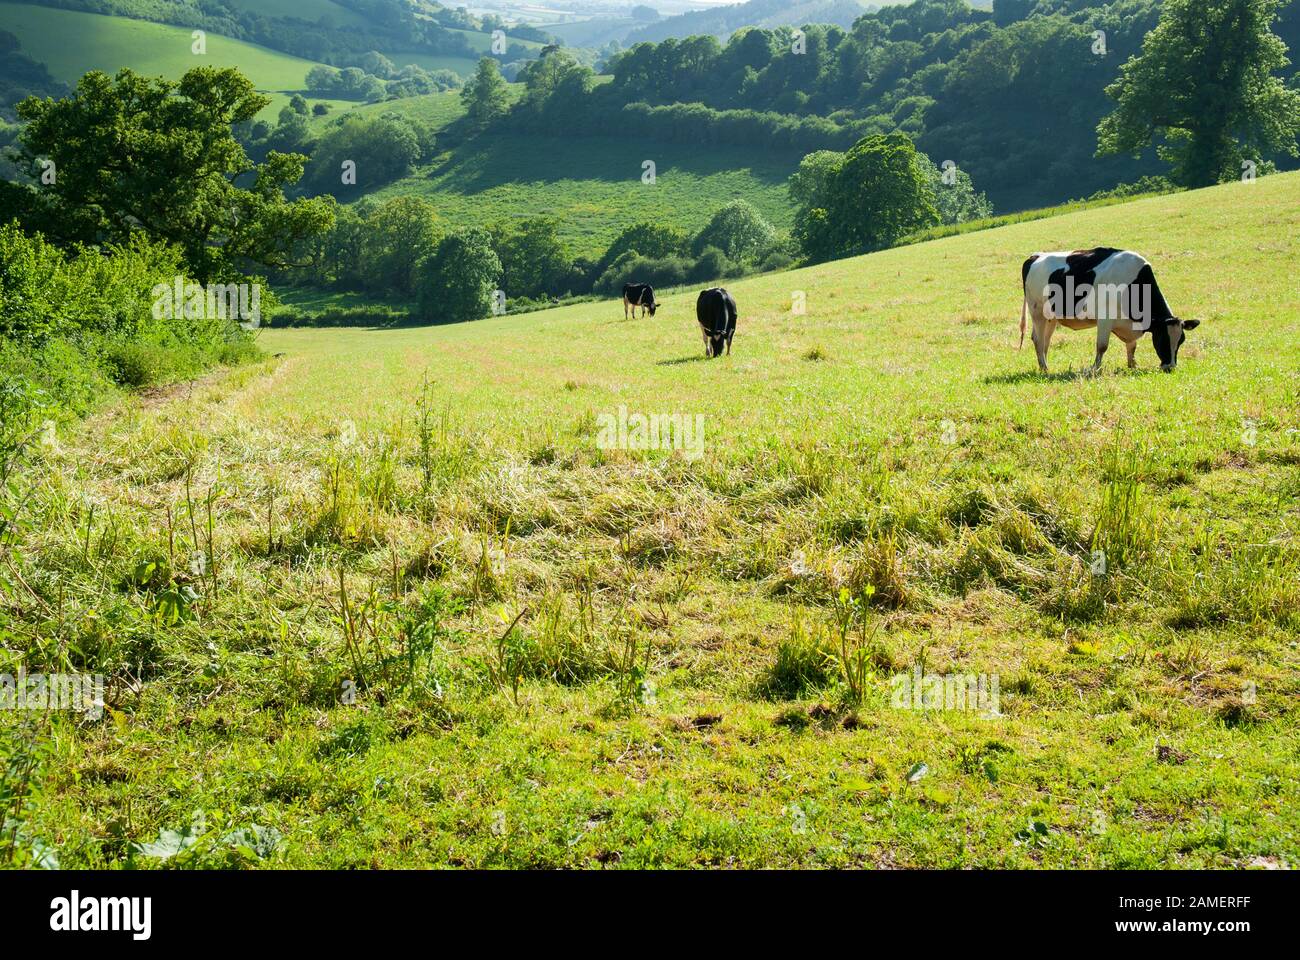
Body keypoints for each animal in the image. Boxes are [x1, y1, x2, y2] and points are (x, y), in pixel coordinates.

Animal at [1019, 248, 1200, 373]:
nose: (1170, 366)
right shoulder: (1105, 318)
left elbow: (1132, 346)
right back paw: (1044, 368)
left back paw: (1044, 366)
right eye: (1162, 339)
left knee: (1046, 341)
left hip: (1051, 316)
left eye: (1181, 341)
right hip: (1037, 312)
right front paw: (1095, 368)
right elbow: (1102, 346)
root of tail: (1035, 256)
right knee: (1038, 339)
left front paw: (1132, 365)